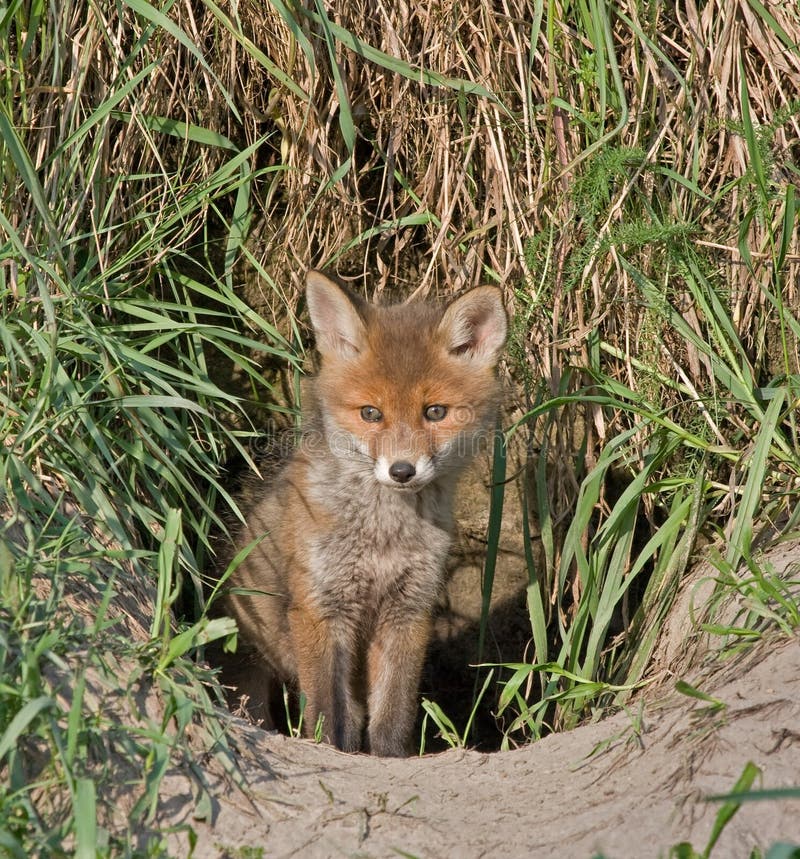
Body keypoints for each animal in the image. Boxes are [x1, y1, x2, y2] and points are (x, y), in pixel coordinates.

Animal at [218, 269, 507, 756]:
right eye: (371, 413)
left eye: (435, 412)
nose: (402, 470)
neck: (382, 539)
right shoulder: (320, 608)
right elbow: (329, 714)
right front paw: (333, 752)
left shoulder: (408, 610)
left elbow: (392, 713)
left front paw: (391, 759)